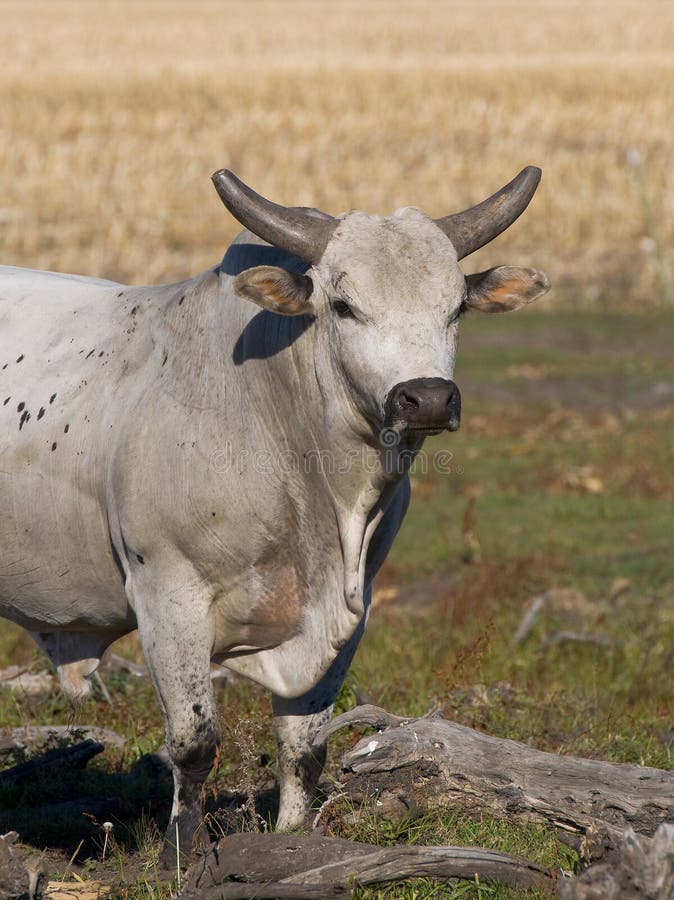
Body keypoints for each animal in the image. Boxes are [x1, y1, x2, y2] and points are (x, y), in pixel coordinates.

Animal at [0, 166, 549, 864]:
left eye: (456, 308)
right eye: (343, 305)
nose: (426, 397)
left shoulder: (350, 610)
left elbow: (303, 746)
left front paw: (292, 842)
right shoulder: (167, 594)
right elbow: (195, 742)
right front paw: (181, 857)